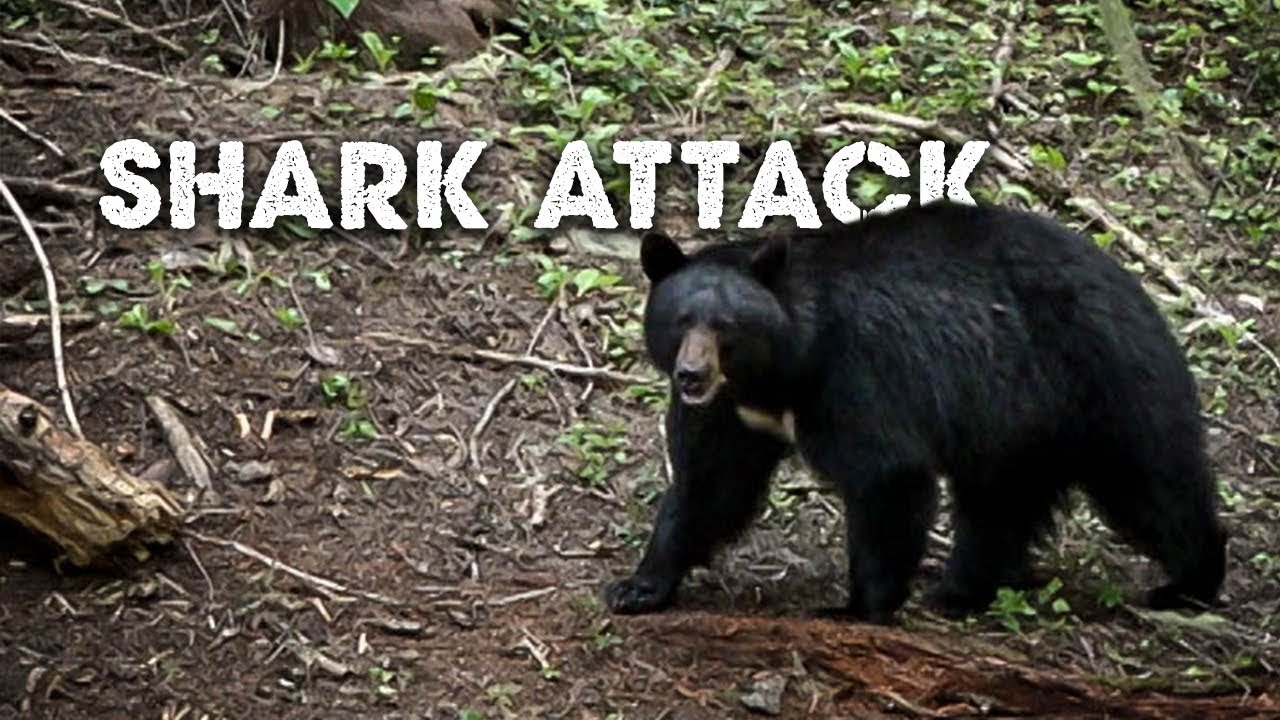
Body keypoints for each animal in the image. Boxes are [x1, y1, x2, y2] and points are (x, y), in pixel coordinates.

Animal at [604, 201, 1227, 624]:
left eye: (726, 327)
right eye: (682, 319)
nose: (691, 376)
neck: (781, 370)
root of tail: (1139, 290)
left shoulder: (854, 374)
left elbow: (887, 476)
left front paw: (857, 607)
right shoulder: (734, 413)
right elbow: (709, 484)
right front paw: (639, 585)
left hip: (1101, 380)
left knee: (1150, 482)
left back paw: (1190, 581)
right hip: (1015, 420)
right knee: (999, 504)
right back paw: (961, 592)